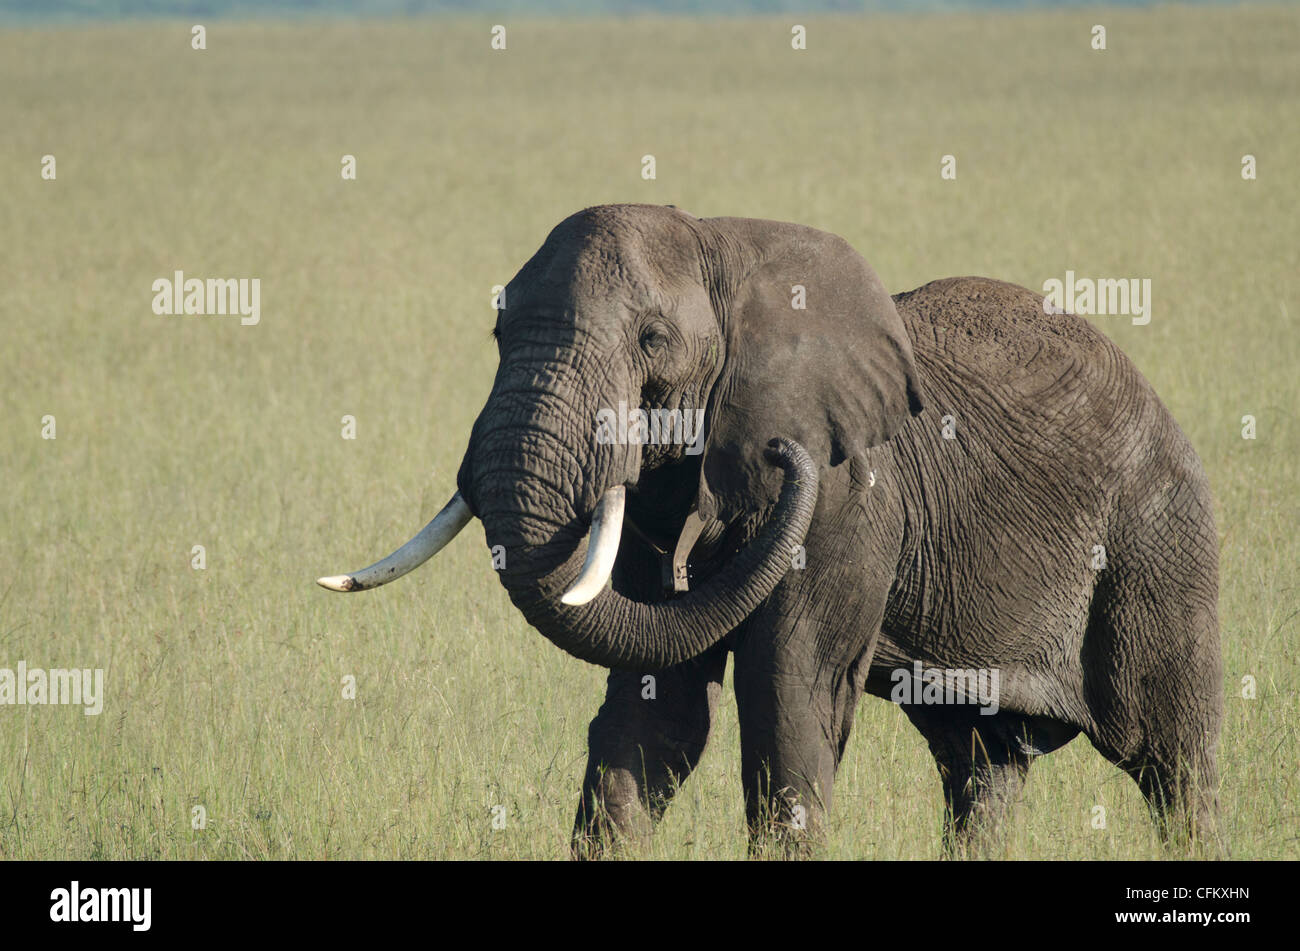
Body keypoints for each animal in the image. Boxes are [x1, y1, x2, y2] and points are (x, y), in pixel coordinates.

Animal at [318, 203, 1223, 858]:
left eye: (651, 340)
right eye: (498, 332)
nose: (786, 456)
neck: (724, 250)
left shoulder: (849, 498)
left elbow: (790, 694)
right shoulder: (657, 502)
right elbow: (657, 705)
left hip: (1157, 539)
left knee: (1172, 759)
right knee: (981, 765)